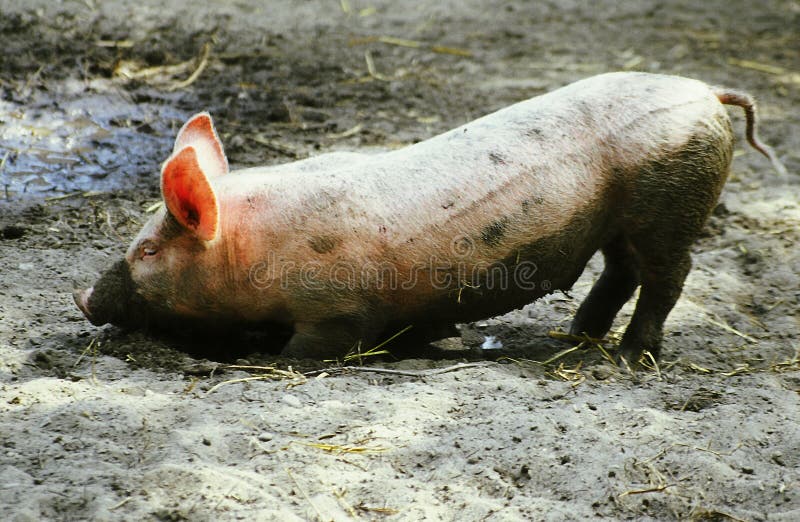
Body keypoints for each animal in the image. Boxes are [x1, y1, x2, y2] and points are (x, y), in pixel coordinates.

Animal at [73, 72, 786, 363]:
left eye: (147, 252)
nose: (81, 296)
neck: (253, 247)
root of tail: (705, 91)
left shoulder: (338, 309)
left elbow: (315, 348)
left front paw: (265, 356)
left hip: (670, 204)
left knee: (668, 275)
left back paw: (630, 356)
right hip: (622, 215)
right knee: (622, 271)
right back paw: (577, 333)